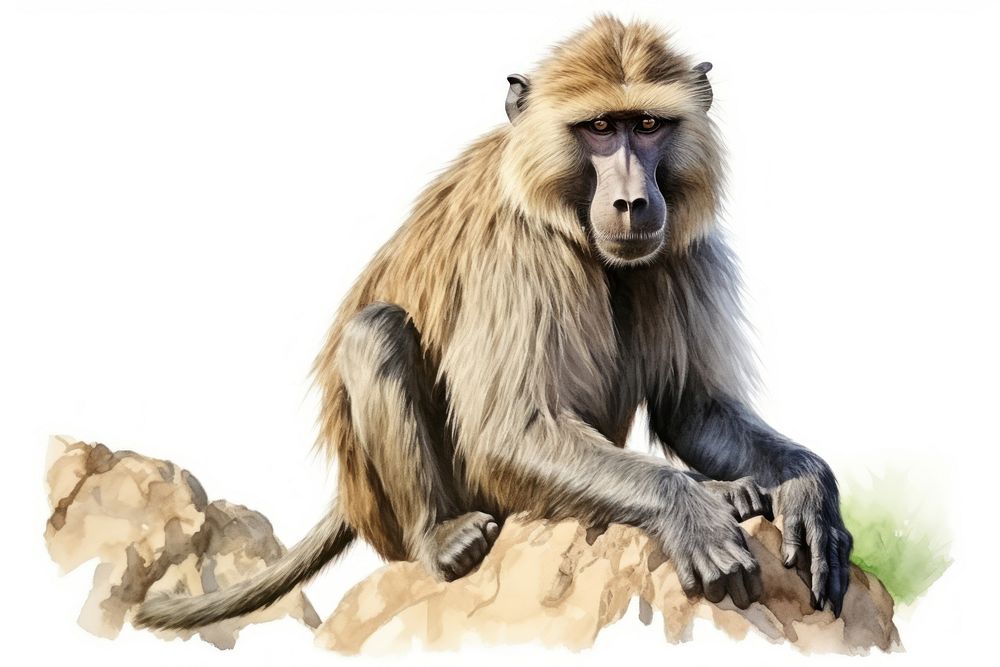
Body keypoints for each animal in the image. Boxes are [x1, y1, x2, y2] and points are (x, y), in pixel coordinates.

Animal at [134, 16, 853, 631]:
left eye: (647, 124)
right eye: (599, 128)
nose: (631, 201)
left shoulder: (682, 249)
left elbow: (694, 410)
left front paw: (808, 491)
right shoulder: (520, 252)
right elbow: (510, 433)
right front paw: (693, 513)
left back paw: (733, 491)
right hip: (416, 504)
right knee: (377, 332)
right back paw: (441, 538)